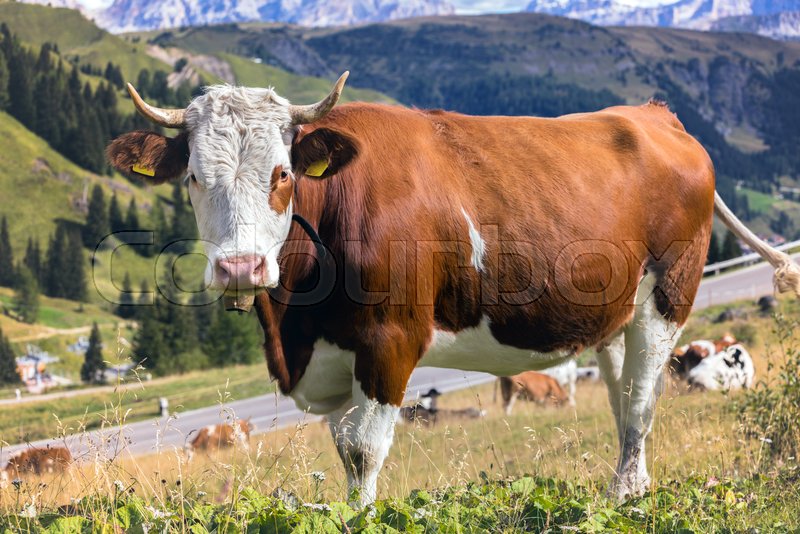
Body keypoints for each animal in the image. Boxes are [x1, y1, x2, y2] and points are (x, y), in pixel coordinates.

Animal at [106, 73, 800, 503]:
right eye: (193, 177)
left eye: (282, 174)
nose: (241, 269)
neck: (294, 328)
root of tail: (654, 114)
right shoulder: (331, 357)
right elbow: (342, 451)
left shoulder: (389, 340)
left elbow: (363, 451)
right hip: (614, 313)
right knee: (627, 397)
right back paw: (637, 488)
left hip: (668, 297)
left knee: (639, 403)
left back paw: (624, 498)